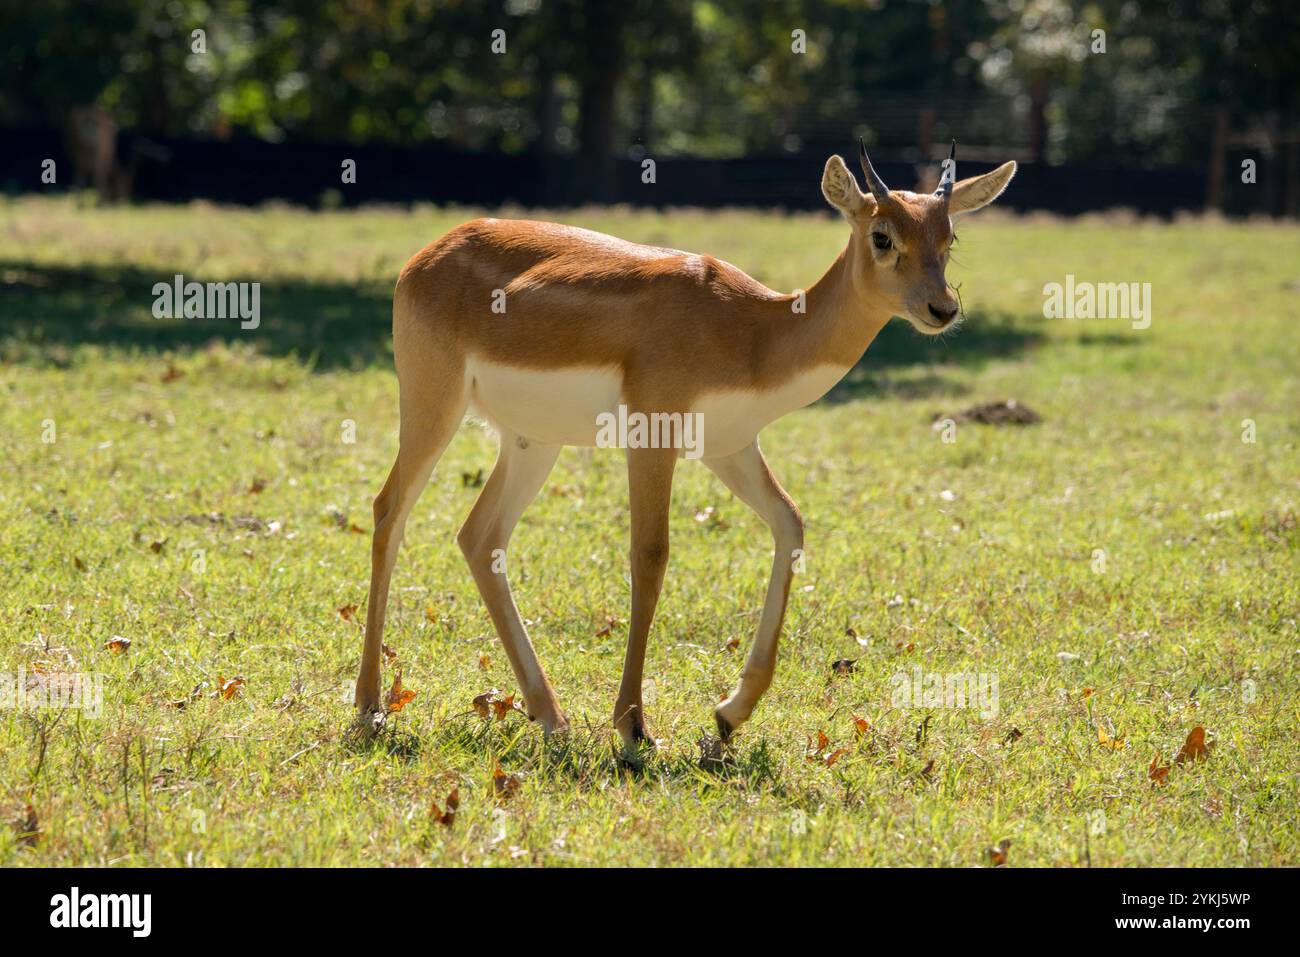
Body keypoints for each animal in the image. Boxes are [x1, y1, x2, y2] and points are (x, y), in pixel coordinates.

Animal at [354, 140, 1016, 755]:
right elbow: (651, 554)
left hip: (530, 440)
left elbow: (791, 524)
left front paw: (728, 716)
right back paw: (369, 709)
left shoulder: (730, 447)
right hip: (433, 404)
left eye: (948, 235)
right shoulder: (654, 432)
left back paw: (551, 716)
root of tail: (425, 256)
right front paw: (633, 726)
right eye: (882, 236)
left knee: (479, 536)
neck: (753, 332)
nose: (942, 308)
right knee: (389, 511)